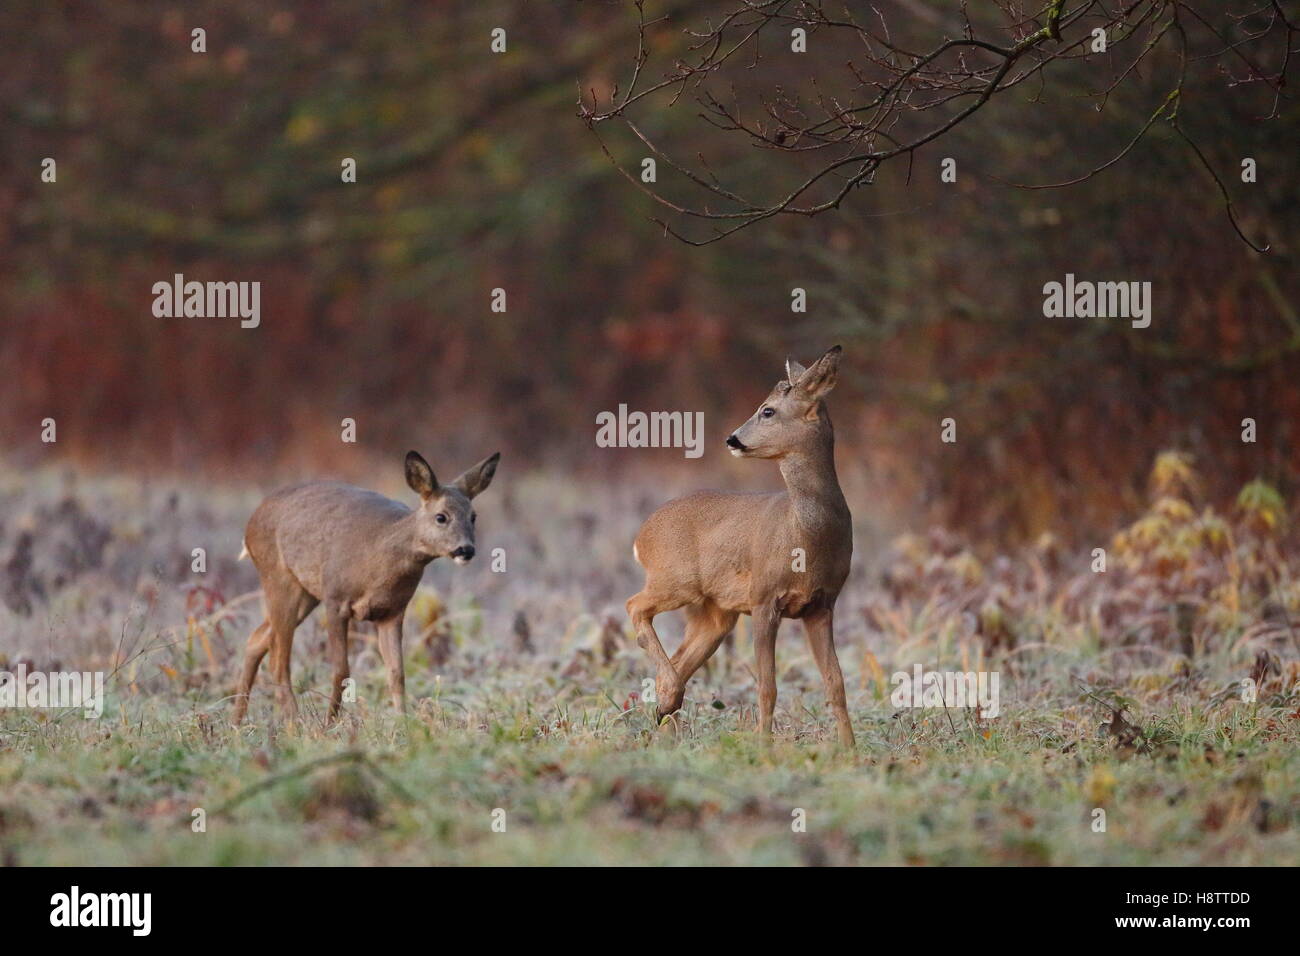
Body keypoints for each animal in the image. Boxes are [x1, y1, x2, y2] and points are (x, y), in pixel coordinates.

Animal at [231, 449, 500, 724]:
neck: (378, 557)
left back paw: (237, 722)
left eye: (473, 517)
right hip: (278, 578)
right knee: (278, 660)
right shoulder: (335, 599)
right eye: (441, 517)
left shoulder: (393, 611)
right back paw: (294, 723)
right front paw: (329, 724)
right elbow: (341, 671)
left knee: (257, 640)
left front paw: (403, 724)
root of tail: (250, 524)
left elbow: (397, 672)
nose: (466, 549)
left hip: (305, 593)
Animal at [626, 346, 855, 746]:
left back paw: (667, 721)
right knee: (634, 605)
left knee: (681, 659)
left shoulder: (823, 605)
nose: (732, 439)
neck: (807, 538)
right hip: (674, 579)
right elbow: (767, 686)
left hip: (715, 612)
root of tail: (643, 535)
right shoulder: (764, 597)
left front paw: (851, 749)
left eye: (768, 410)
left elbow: (835, 683)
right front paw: (763, 745)